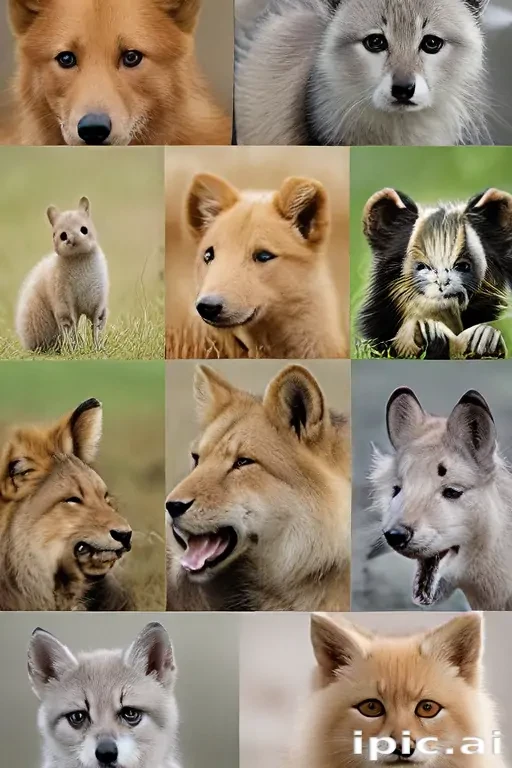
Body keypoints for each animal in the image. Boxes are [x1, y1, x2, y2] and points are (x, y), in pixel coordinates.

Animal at [16, 196, 109, 352]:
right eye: (61, 235)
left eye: (84, 229)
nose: (70, 240)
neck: (78, 259)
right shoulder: (63, 299)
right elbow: (70, 326)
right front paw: (75, 349)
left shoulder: (97, 300)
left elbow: (96, 325)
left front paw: (98, 348)